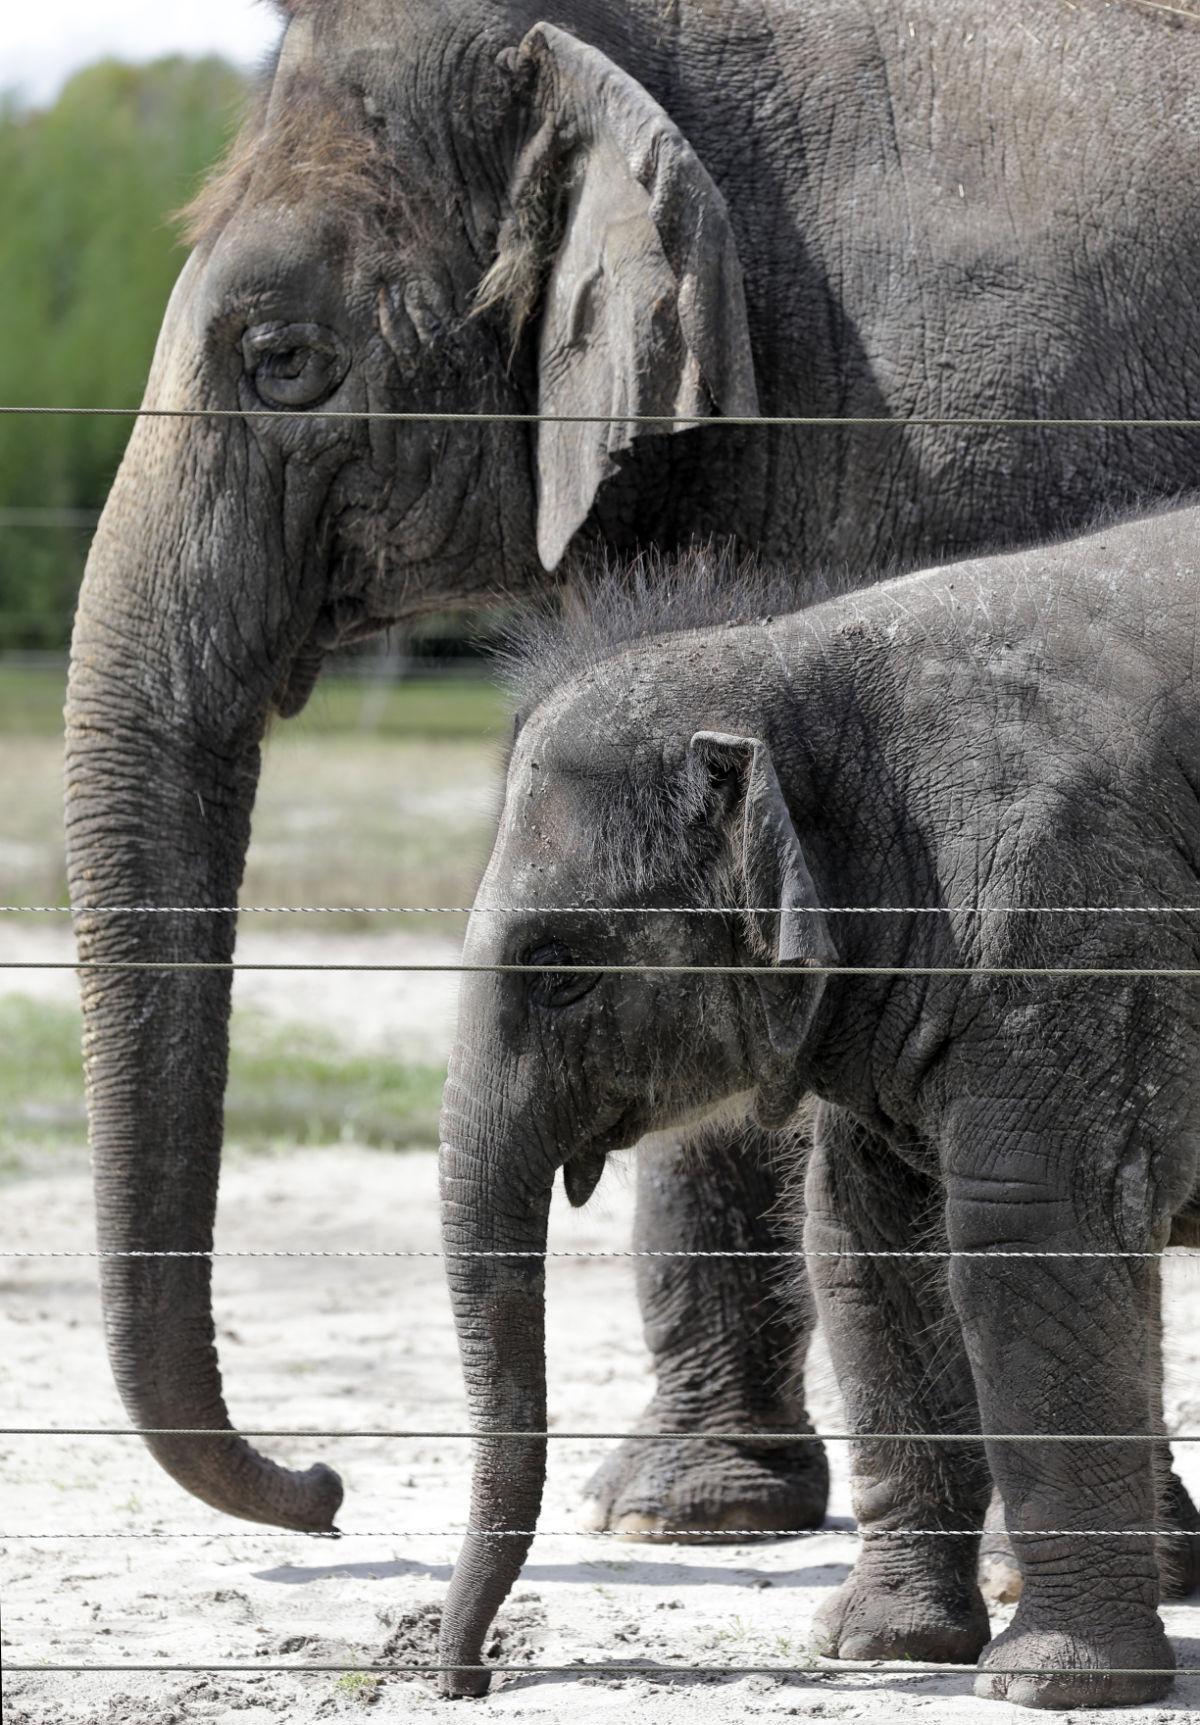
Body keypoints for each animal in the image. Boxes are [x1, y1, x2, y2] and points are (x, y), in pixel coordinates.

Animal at [438, 514, 1200, 1711]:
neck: (795, 662)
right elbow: (861, 1240)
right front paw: (878, 1647)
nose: (466, 1678)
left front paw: (1051, 1687)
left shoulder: (1076, 927)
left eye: (558, 966)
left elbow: (1030, 1237)